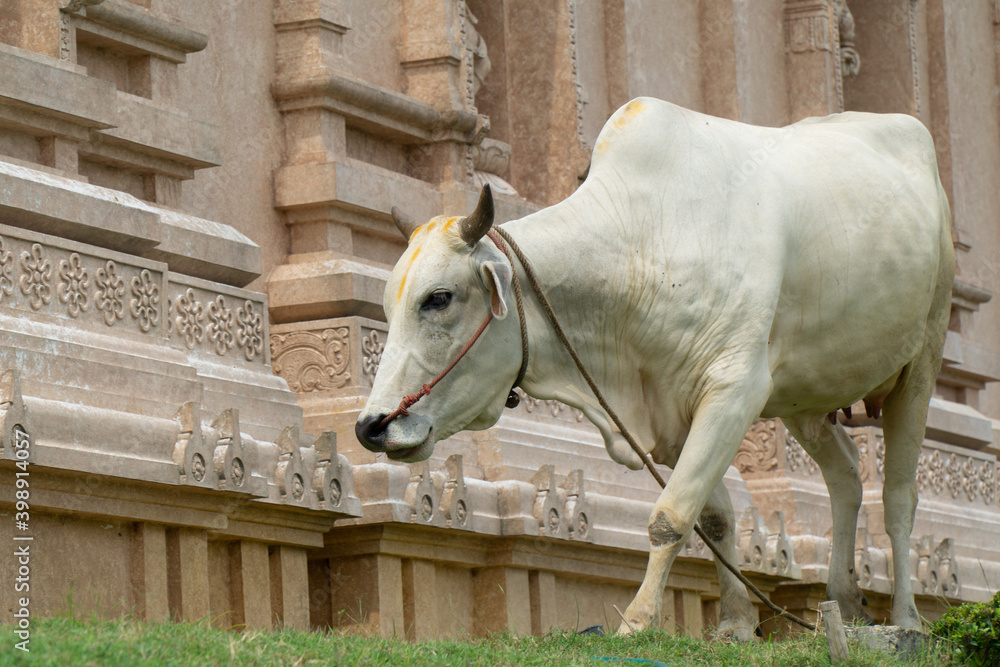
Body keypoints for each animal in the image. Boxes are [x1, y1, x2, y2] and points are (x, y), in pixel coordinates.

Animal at [355, 97, 955, 639]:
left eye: (439, 298)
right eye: (387, 305)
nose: (371, 427)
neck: (639, 253)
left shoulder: (735, 390)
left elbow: (671, 514)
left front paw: (637, 622)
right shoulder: (670, 418)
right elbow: (713, 517)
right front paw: (736, 623)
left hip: (923, 358)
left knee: (899, 498)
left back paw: (906, 620)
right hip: (808, 399)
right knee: (848, 477)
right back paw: (845, 605)